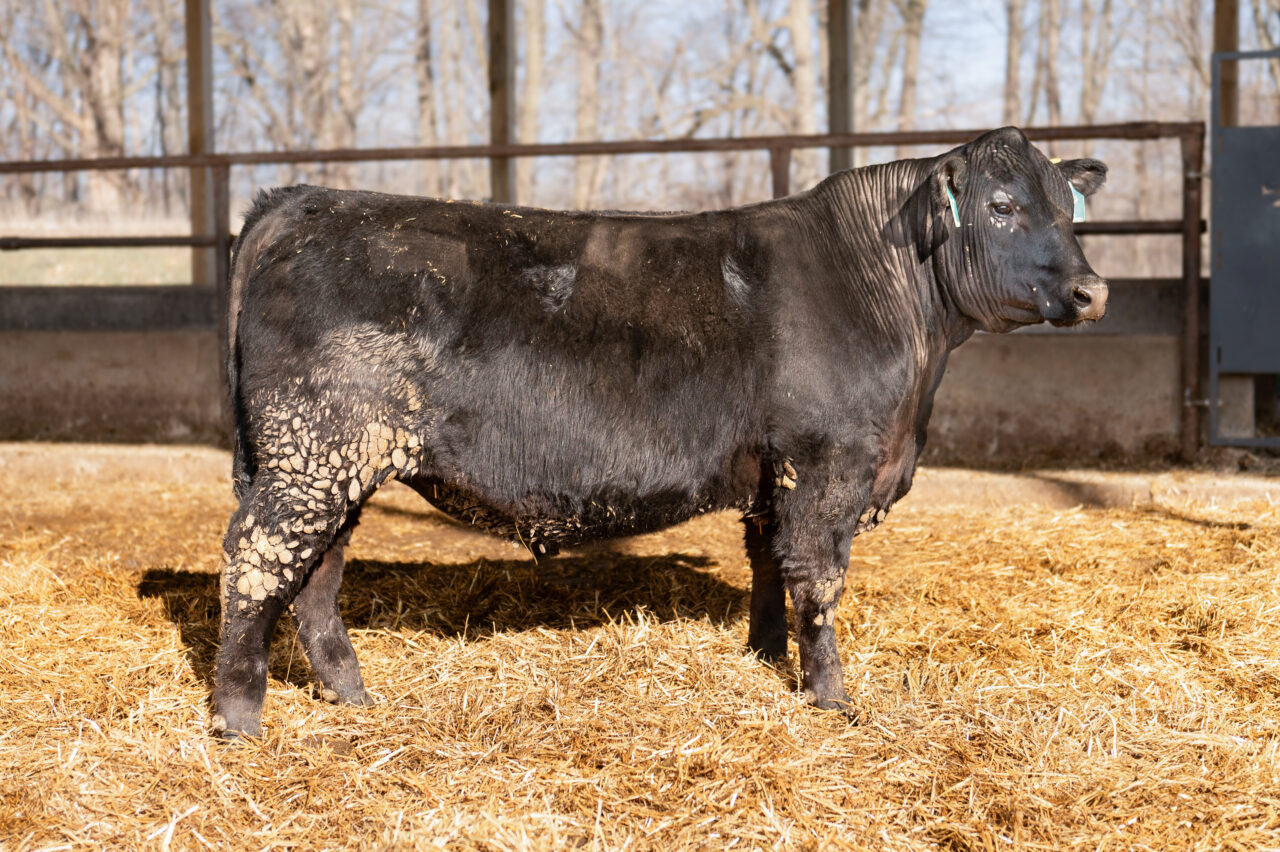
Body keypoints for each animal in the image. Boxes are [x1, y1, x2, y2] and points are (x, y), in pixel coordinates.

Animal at [212, 126, 1108, 738]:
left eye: (1071, 212)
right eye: (1001, 207)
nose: (1094, 291)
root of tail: (306, 200)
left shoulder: (771, 472)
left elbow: (767, 563)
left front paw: (762, 656)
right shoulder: (827, 466)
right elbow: (817, 578)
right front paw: (832, 698)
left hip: (331, 463)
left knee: (317, 574)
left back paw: (352, 695)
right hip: (311, 452)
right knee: (259, 561)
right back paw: (238, 719)